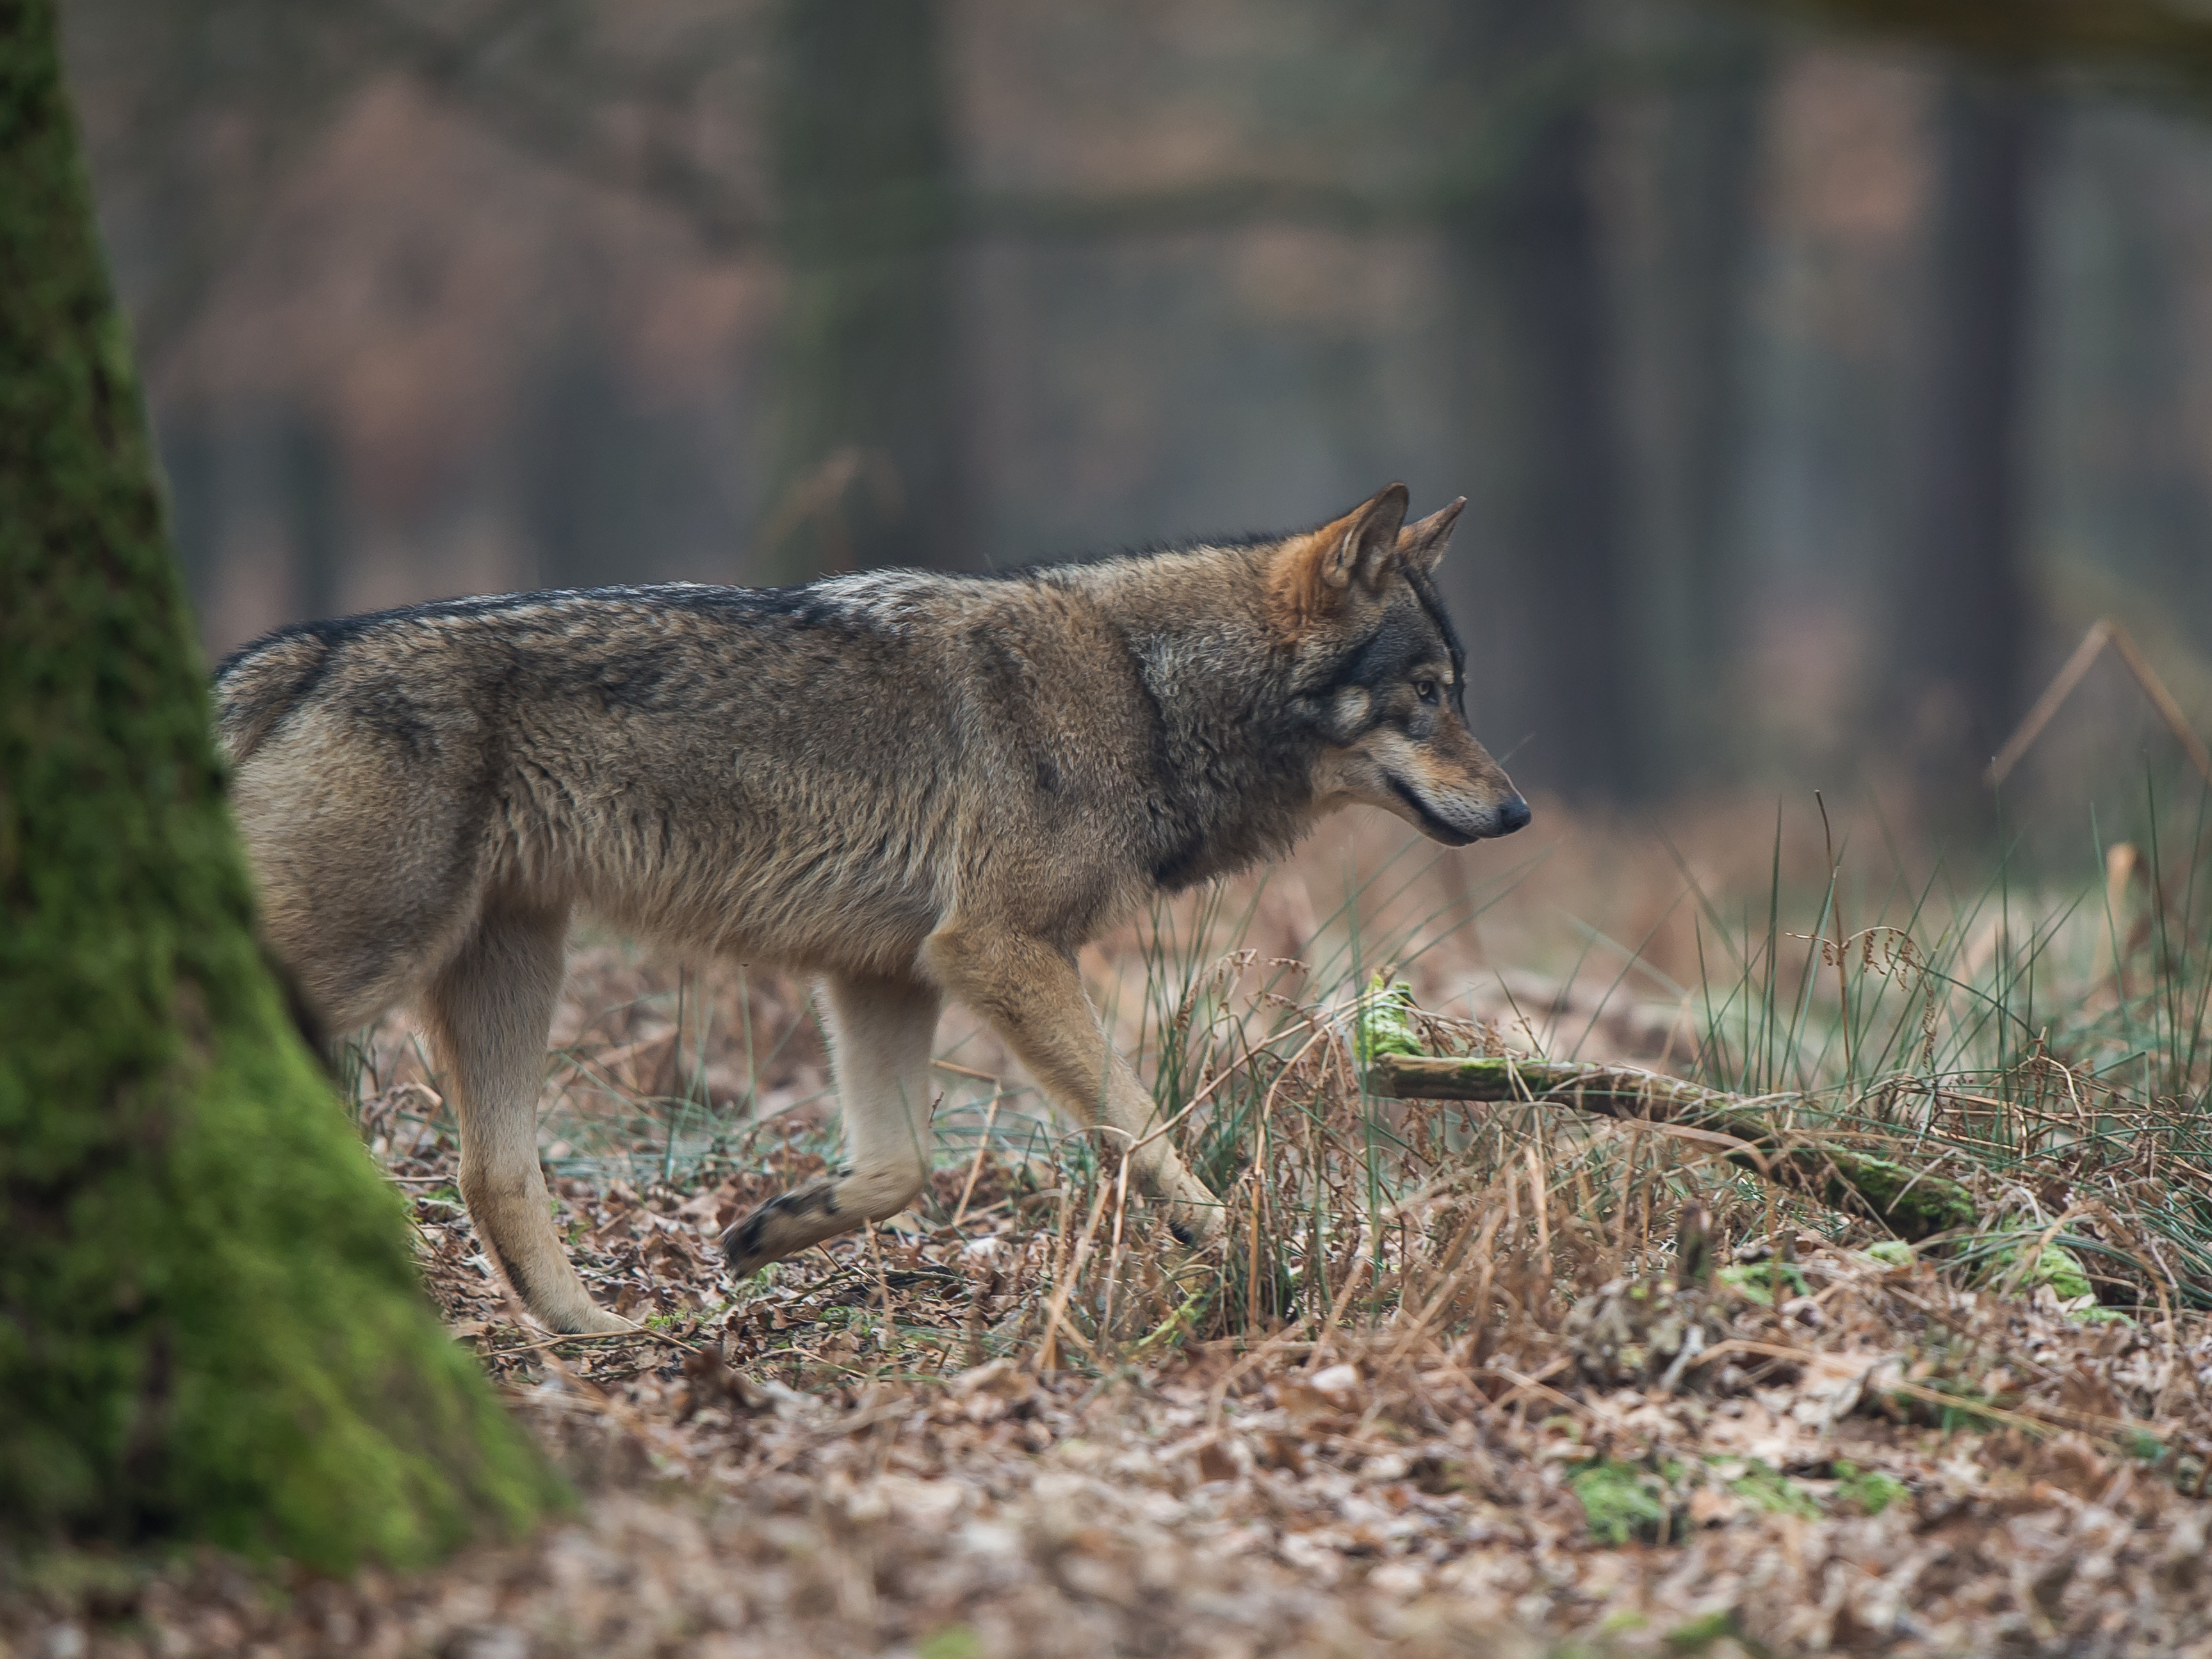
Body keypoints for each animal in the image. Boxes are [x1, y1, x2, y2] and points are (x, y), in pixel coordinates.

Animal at [215, 483, 1529, 1333]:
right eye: (1425, 693)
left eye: (1458, 690)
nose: (1517, 811)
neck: (1144, 693)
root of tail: (310, 648)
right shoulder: (995, 951)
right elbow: (1138, 1125)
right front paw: (1242, 1248)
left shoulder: (887, 974)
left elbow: (896, 1170)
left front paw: (771, 1229)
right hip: (371, 956)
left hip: (508, 967)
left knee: (491, 1174)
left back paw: (602, 1332)